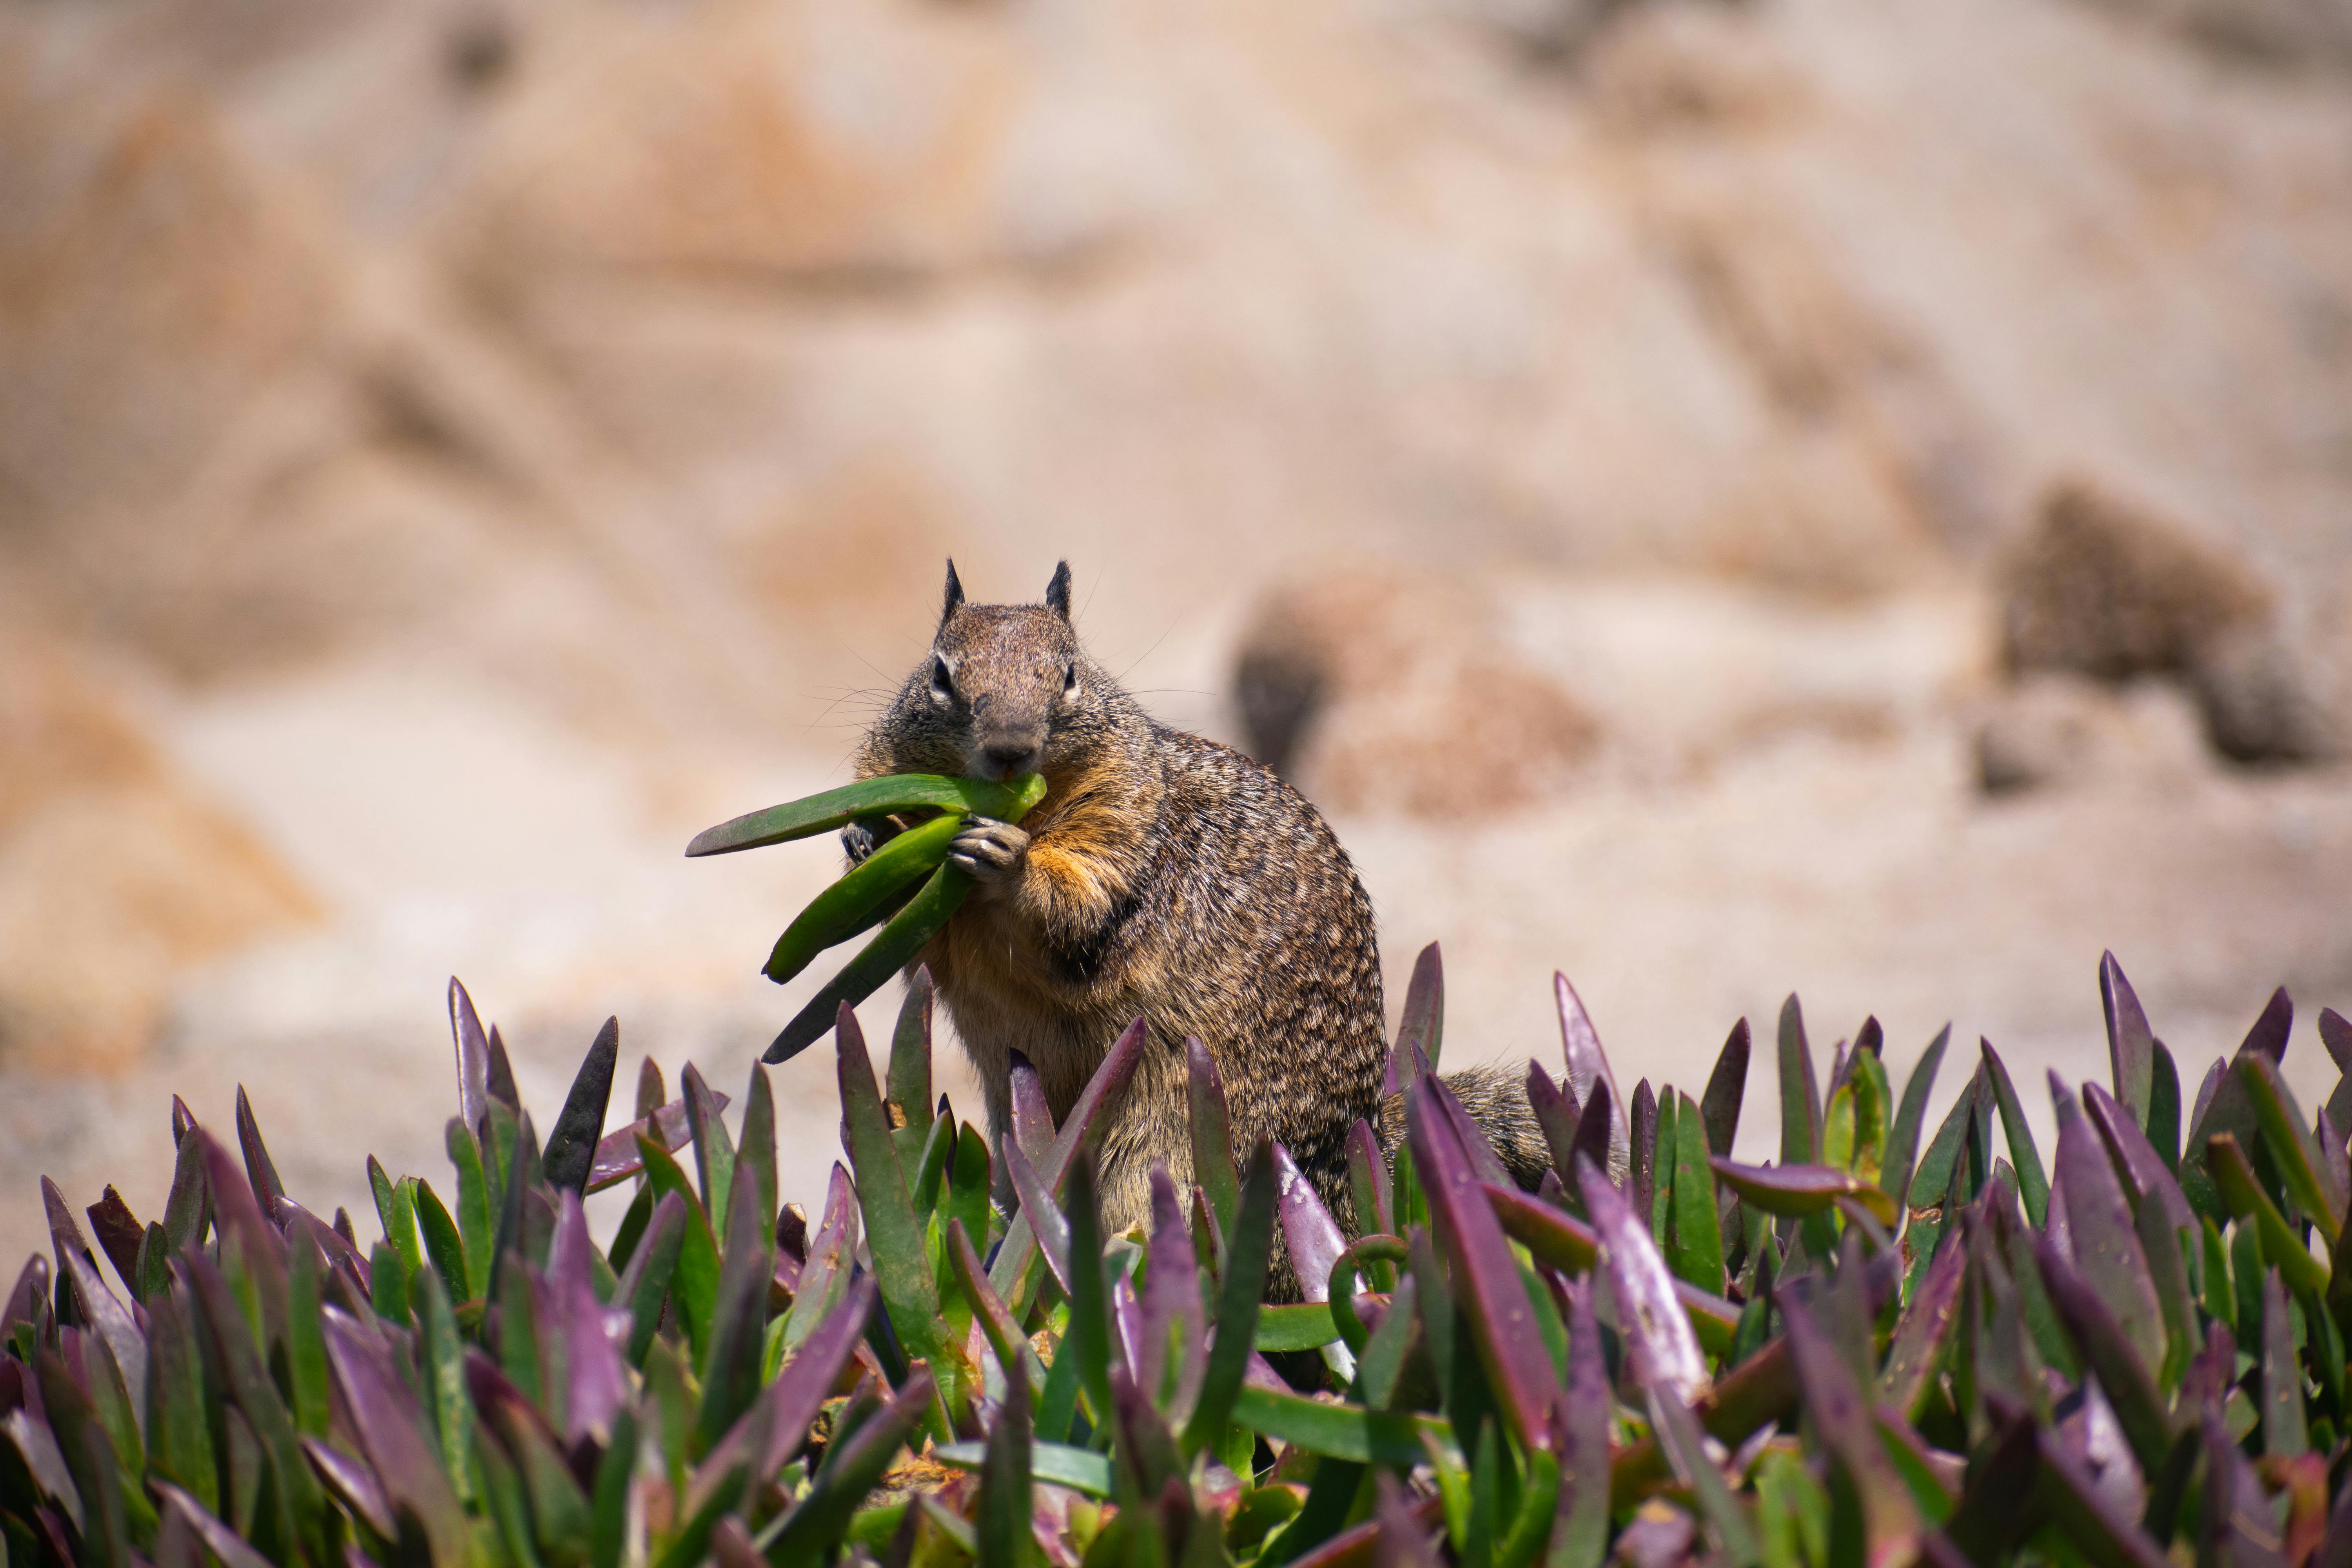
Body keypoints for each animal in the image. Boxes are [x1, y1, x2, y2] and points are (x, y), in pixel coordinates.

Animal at [848, 561, 1548, 1291]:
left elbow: (1073, 913)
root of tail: (1345, 1178)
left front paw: (1006, 860)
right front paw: (866, 835)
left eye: (1069, 673)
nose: (1010, 749)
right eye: (940, 672)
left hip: (1171, 1152)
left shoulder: (1124, 843)